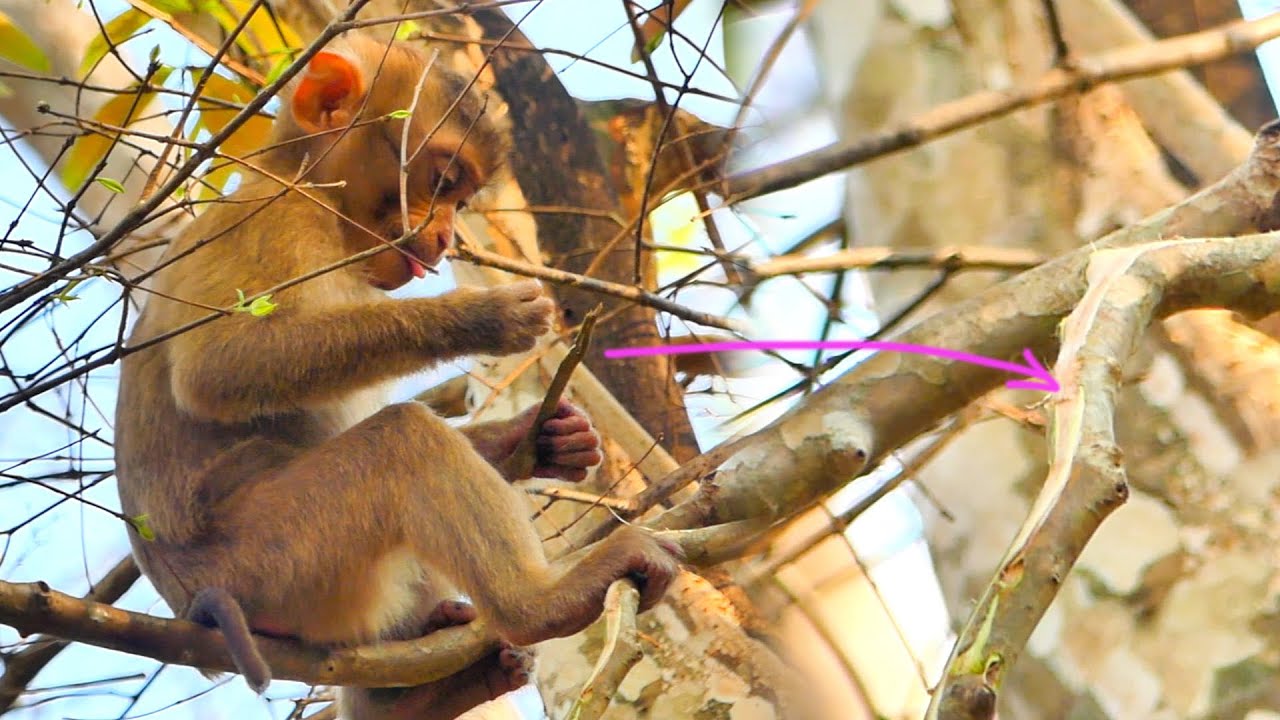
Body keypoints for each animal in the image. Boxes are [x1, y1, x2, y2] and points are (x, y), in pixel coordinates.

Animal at [113, 34, 681, 719]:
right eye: (443, 181)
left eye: (461, 200)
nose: (444, 238)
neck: (318, 202)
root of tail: (189, 606)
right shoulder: (273, 223)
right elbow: (218, 367)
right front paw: (481, 319)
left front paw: (542, 439)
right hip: (273, 562)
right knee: (401, 441)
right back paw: (539, 604)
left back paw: (418, 696)